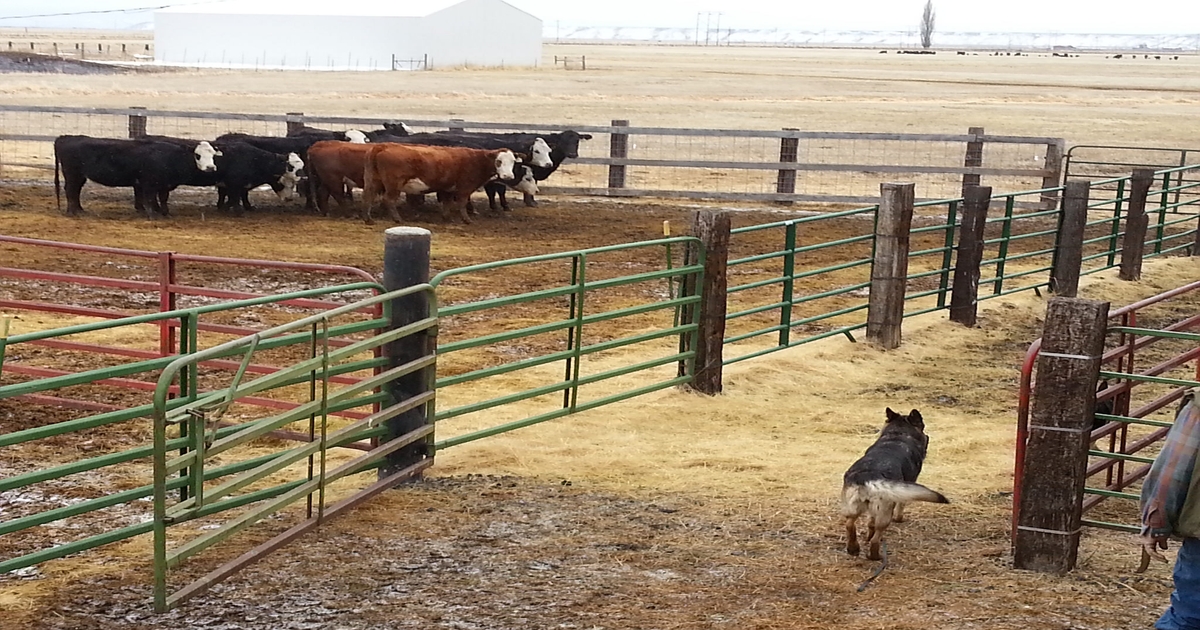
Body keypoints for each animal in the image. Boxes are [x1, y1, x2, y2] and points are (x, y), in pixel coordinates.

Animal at [841, 408, 949, 561]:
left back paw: (853, 548)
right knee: (876, 538)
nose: (928, 437)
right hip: (885, 513)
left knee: (850, 524)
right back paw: (875, 555)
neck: (897, 435)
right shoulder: (907, 486)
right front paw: (899, 519)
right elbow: (901, 505)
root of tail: (868, 476)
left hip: (852, 508)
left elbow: (870, 523)